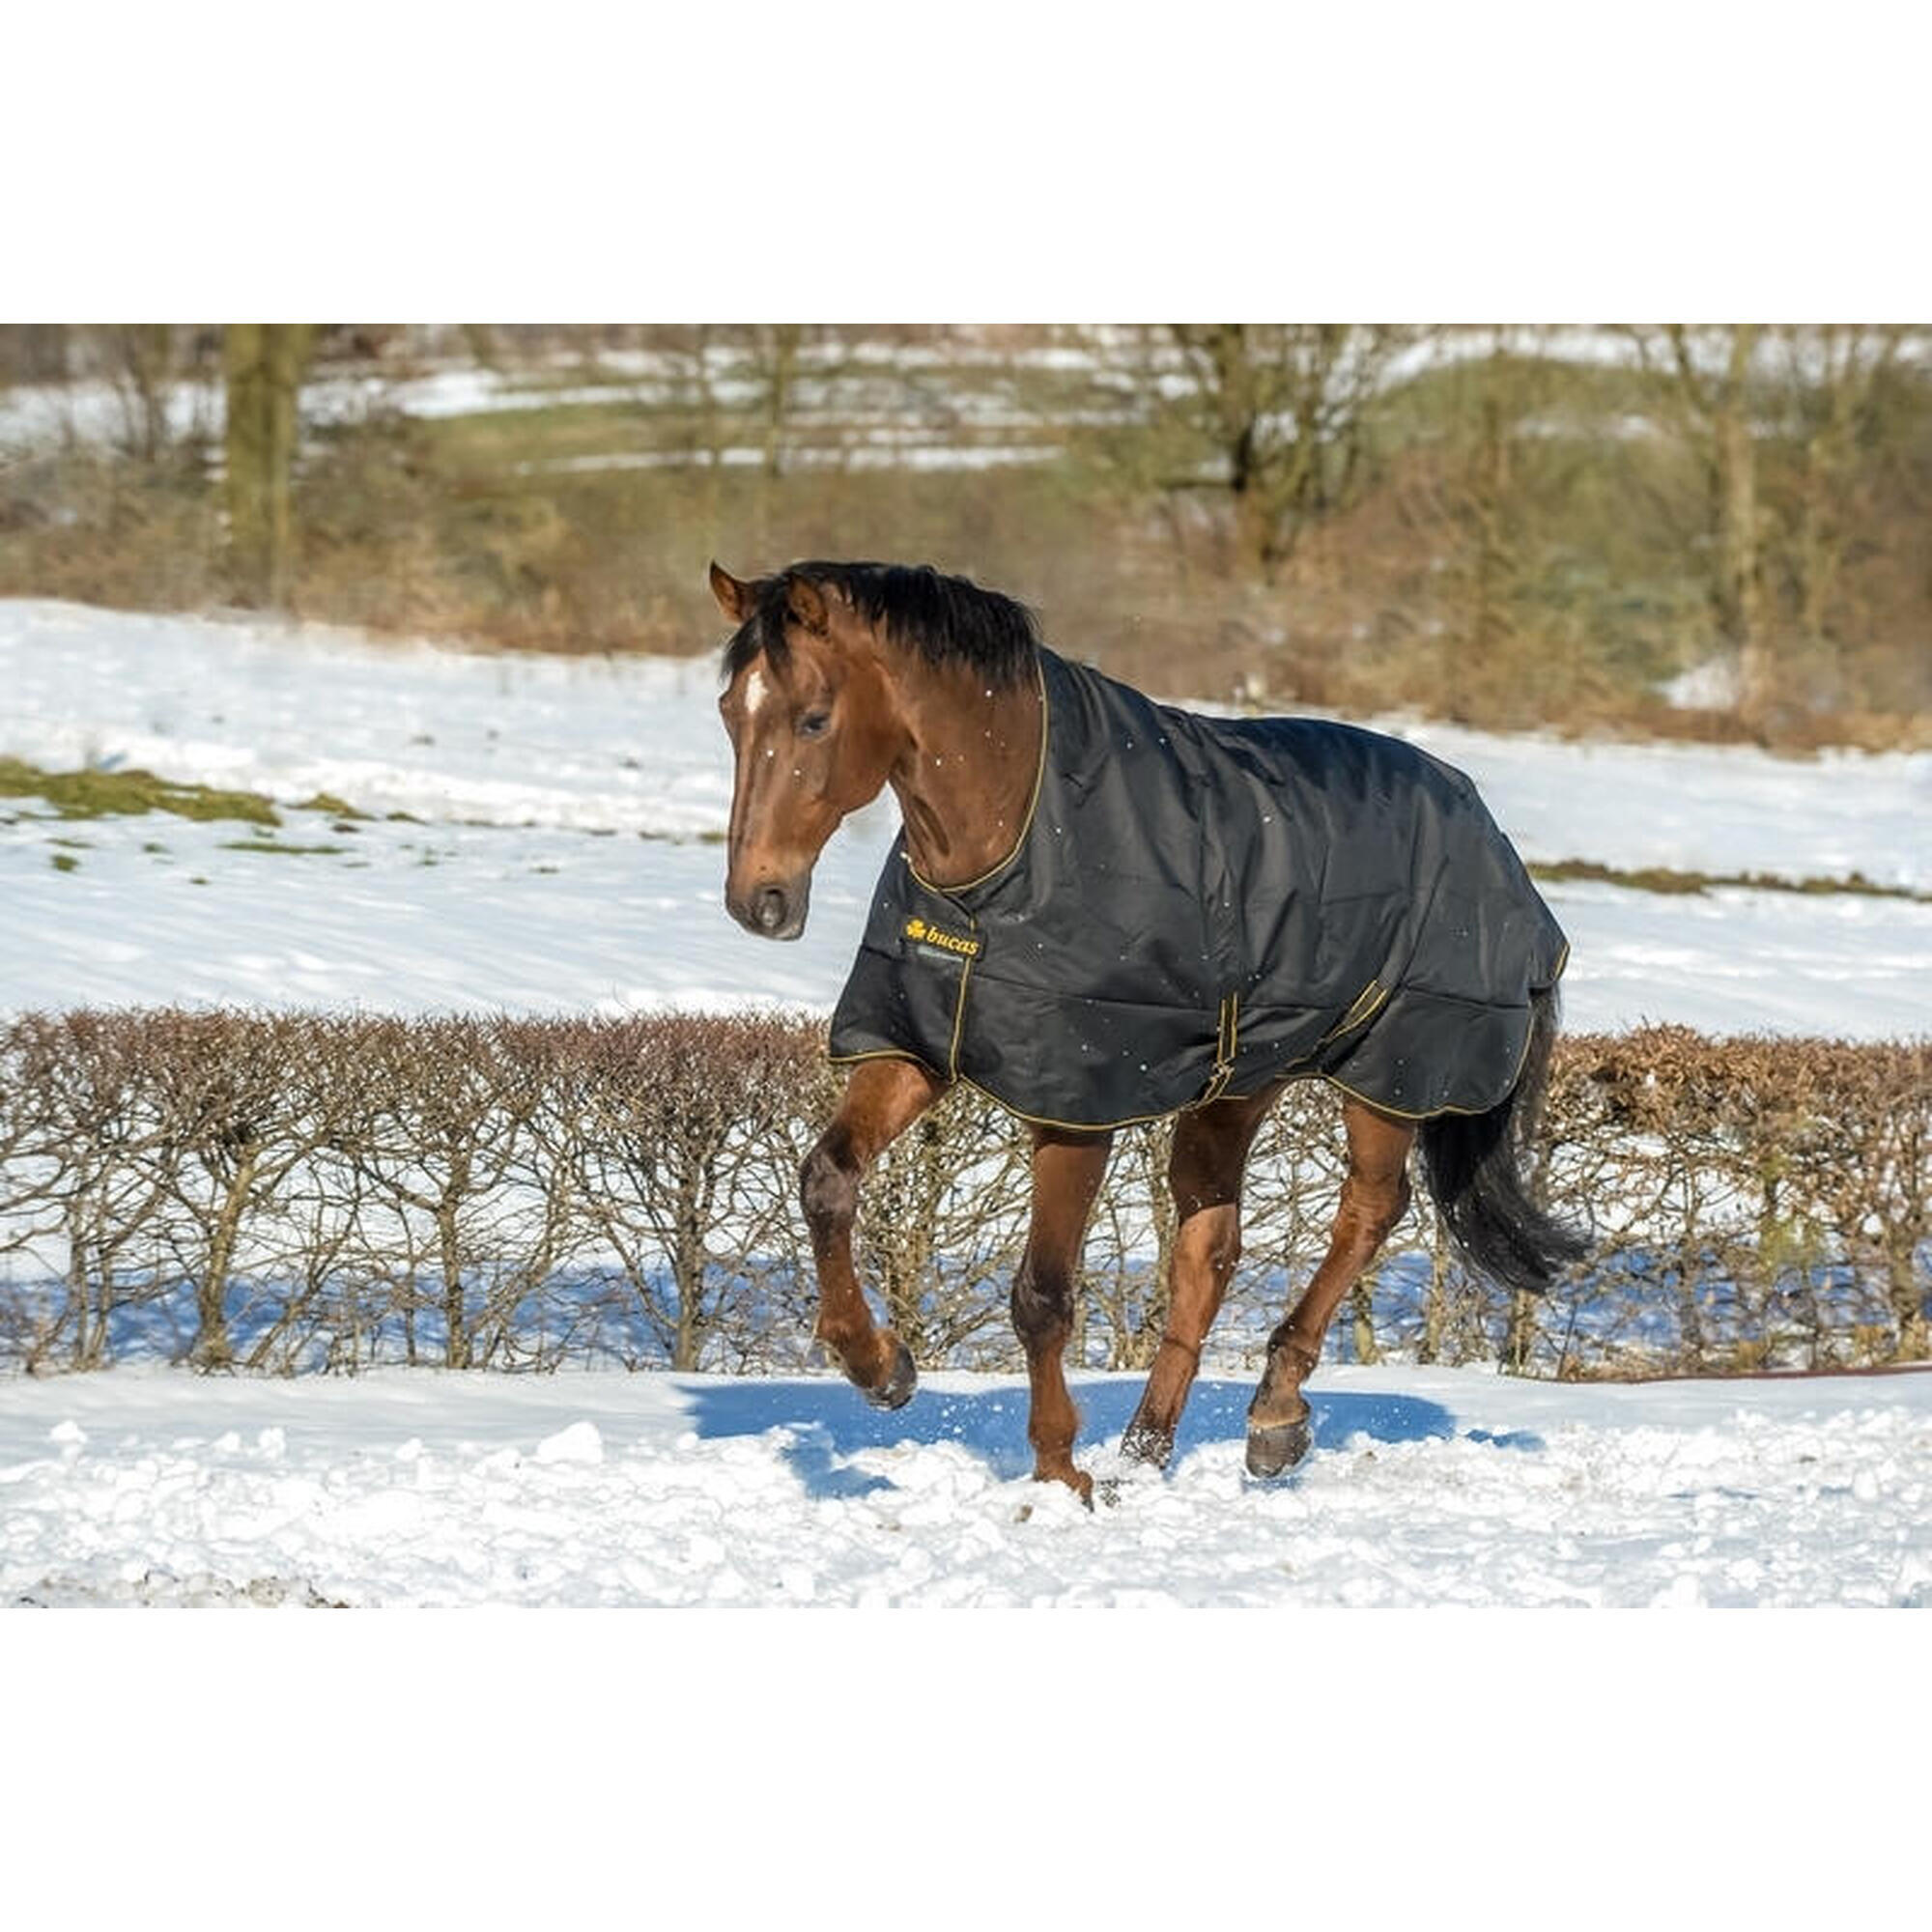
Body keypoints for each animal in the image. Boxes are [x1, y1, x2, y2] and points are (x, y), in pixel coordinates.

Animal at [712, 558, 1587, 1501]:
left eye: (814, 717)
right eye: (730, 711)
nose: (758, 901)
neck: (1006, 843)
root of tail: (1489, 832)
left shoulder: (1074, 1108)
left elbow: (1042, 1295)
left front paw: (1060, 1471)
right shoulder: (917, 1047)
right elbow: (826, 1181)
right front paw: (879, 1368)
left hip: (1389, 1075)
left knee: (1369, 1212)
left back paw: (1273, 1417)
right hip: (1238, 1084)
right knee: (1208, 1248)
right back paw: (1146, 1449)